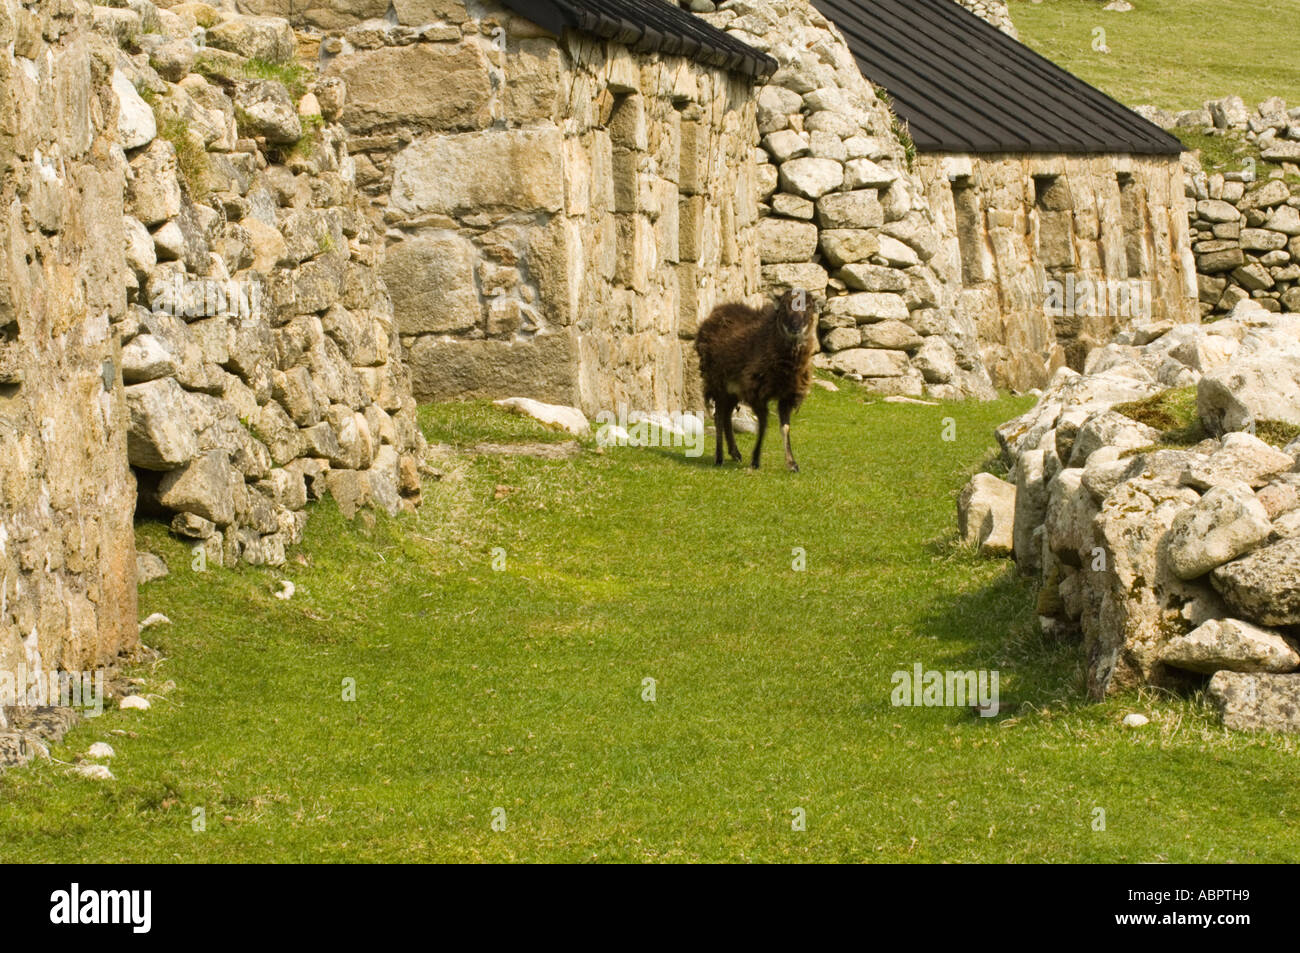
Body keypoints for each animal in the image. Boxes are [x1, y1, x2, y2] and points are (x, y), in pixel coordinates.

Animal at [694, 288, 817, 471]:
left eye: (808, 306)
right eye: (783, 307)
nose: (794, 328)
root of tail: (716, 311)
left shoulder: (787, 395)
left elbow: (785, 428)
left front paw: (792, 463)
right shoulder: (756, 391)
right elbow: (764, 424)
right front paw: (756, 459)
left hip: (733, 389)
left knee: (726, 416)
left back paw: (735, 453)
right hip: (717, 381)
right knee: (719, 417)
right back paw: (719, 457)